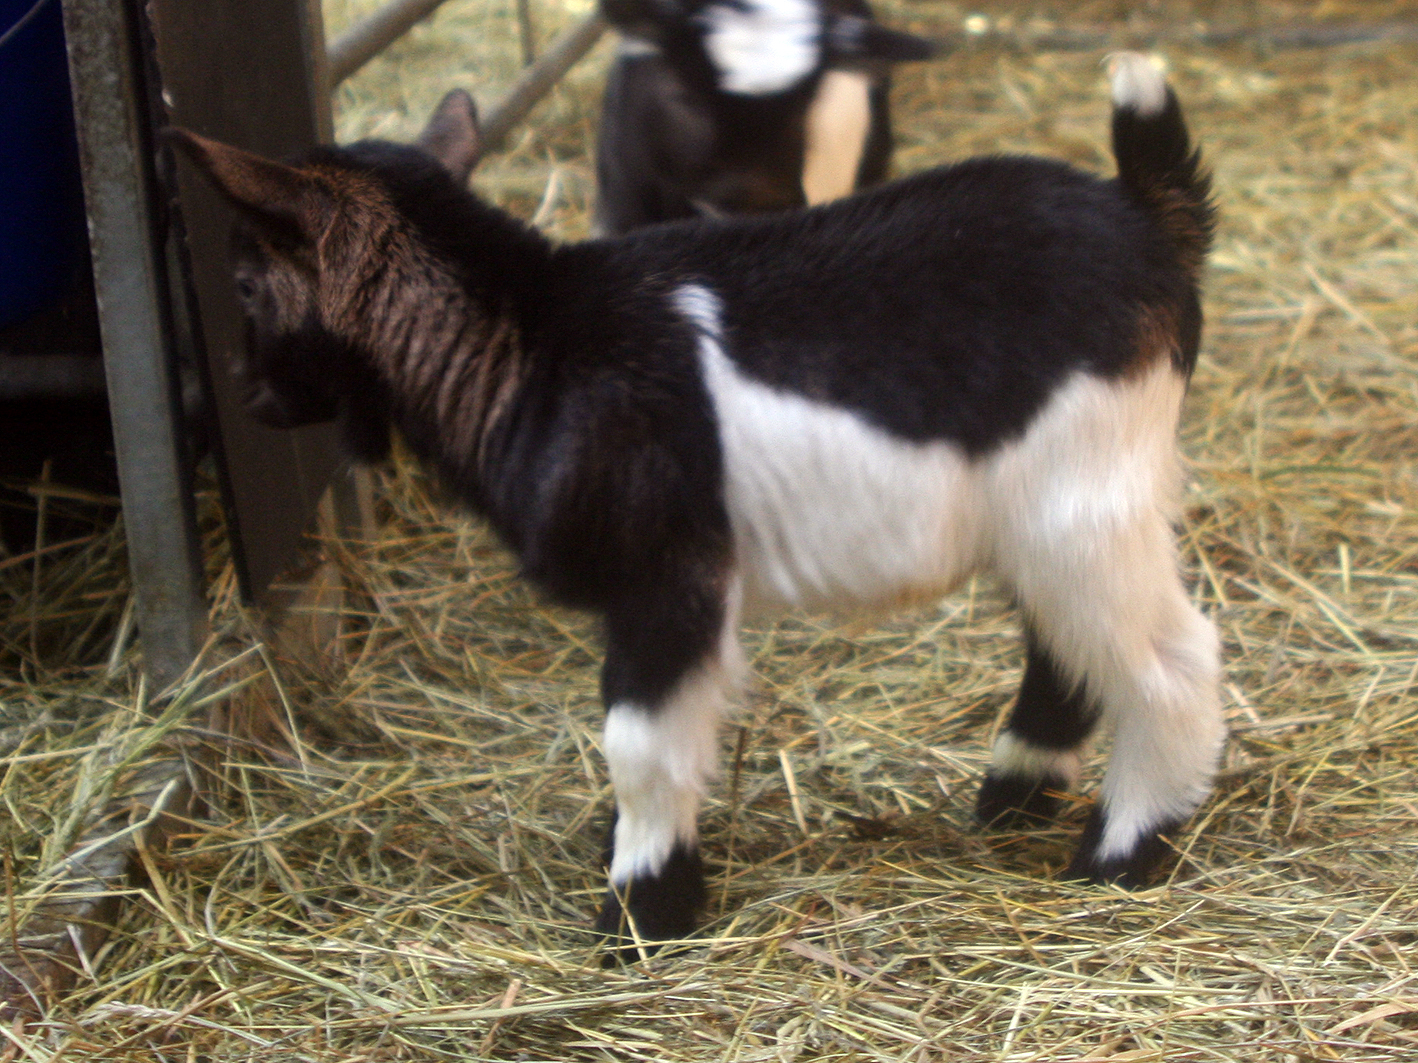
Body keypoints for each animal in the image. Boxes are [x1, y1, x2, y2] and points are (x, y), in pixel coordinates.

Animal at [167, 52, 1222, 953]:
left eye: (244, 282)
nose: (243, 397)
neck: (531, 343)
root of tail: (1147, 218)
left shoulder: (665, 575)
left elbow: (639, 744)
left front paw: (642, 908)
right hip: (1043, 511)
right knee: (1067, 649)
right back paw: (1015, 795)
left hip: (1083, 493)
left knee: (1170, 660)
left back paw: (1122, 850)